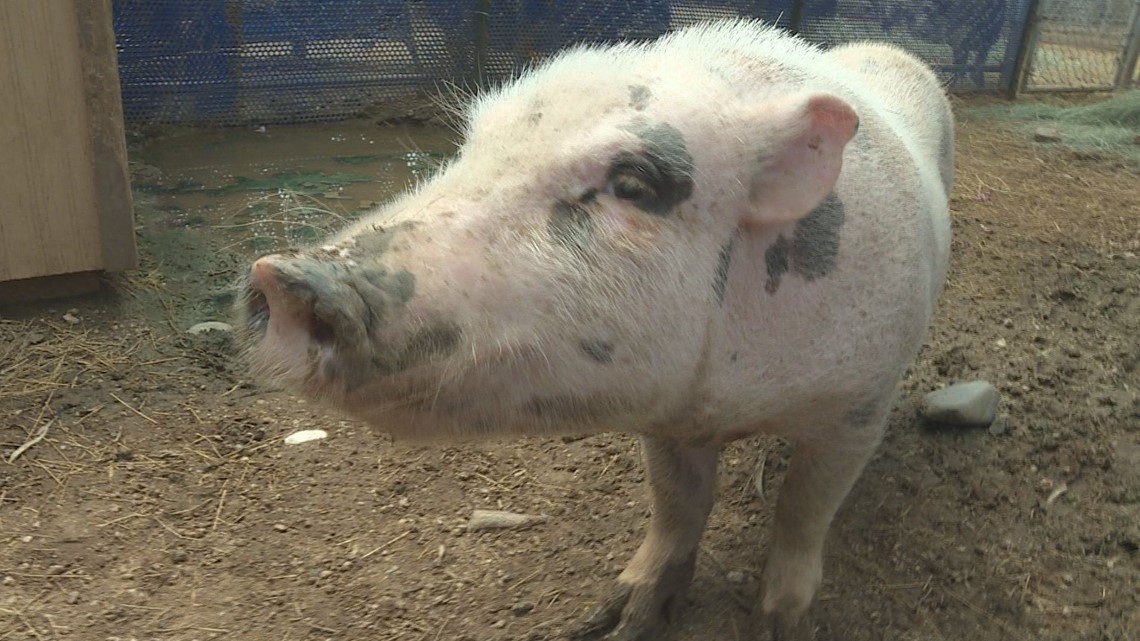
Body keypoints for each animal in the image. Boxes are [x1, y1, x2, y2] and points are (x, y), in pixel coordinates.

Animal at [236, 18, 953, 641]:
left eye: (633, 183)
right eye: (471, 152)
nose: (282, 276)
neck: (731, 403)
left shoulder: (857, 405)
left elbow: (804, 510)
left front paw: (781, 627)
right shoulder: (667, 420)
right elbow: (676, 505)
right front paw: (607, 624)